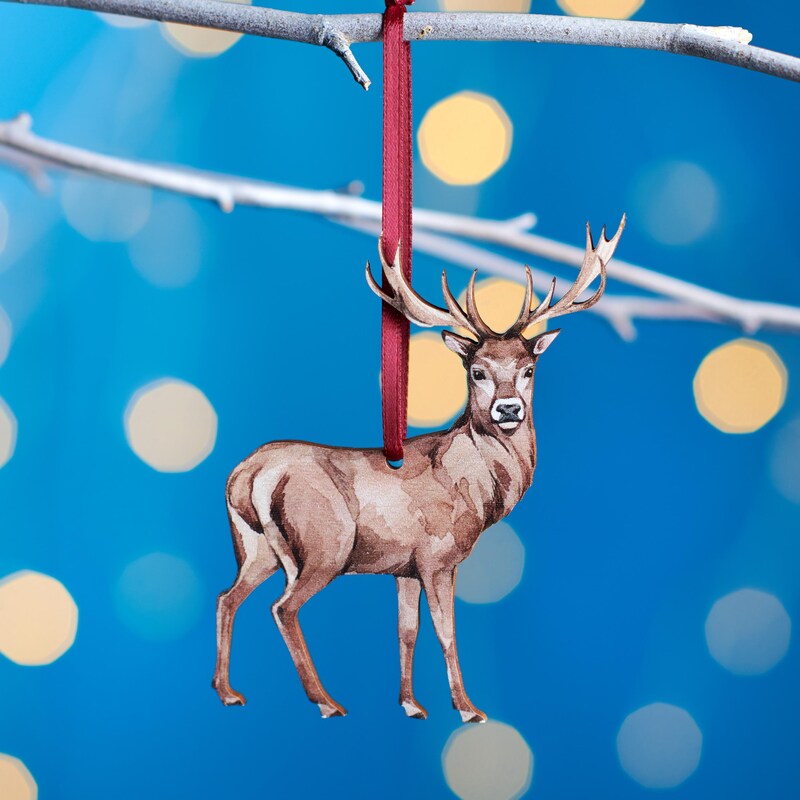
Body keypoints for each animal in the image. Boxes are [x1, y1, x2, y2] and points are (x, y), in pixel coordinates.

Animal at [212, 217, 625, 721]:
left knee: (227, 597)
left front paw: (410, 703)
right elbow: (446, 631)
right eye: (476, 370)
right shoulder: (436, 556)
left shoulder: (403, 567)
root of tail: (248, 475)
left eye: (529, 368)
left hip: (254, 546)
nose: (509, 409)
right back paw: (326, 701)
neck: (476, 488)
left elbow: (405, 631)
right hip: (325, 543)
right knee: (284, 608)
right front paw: (467, 708)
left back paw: (228, 691)